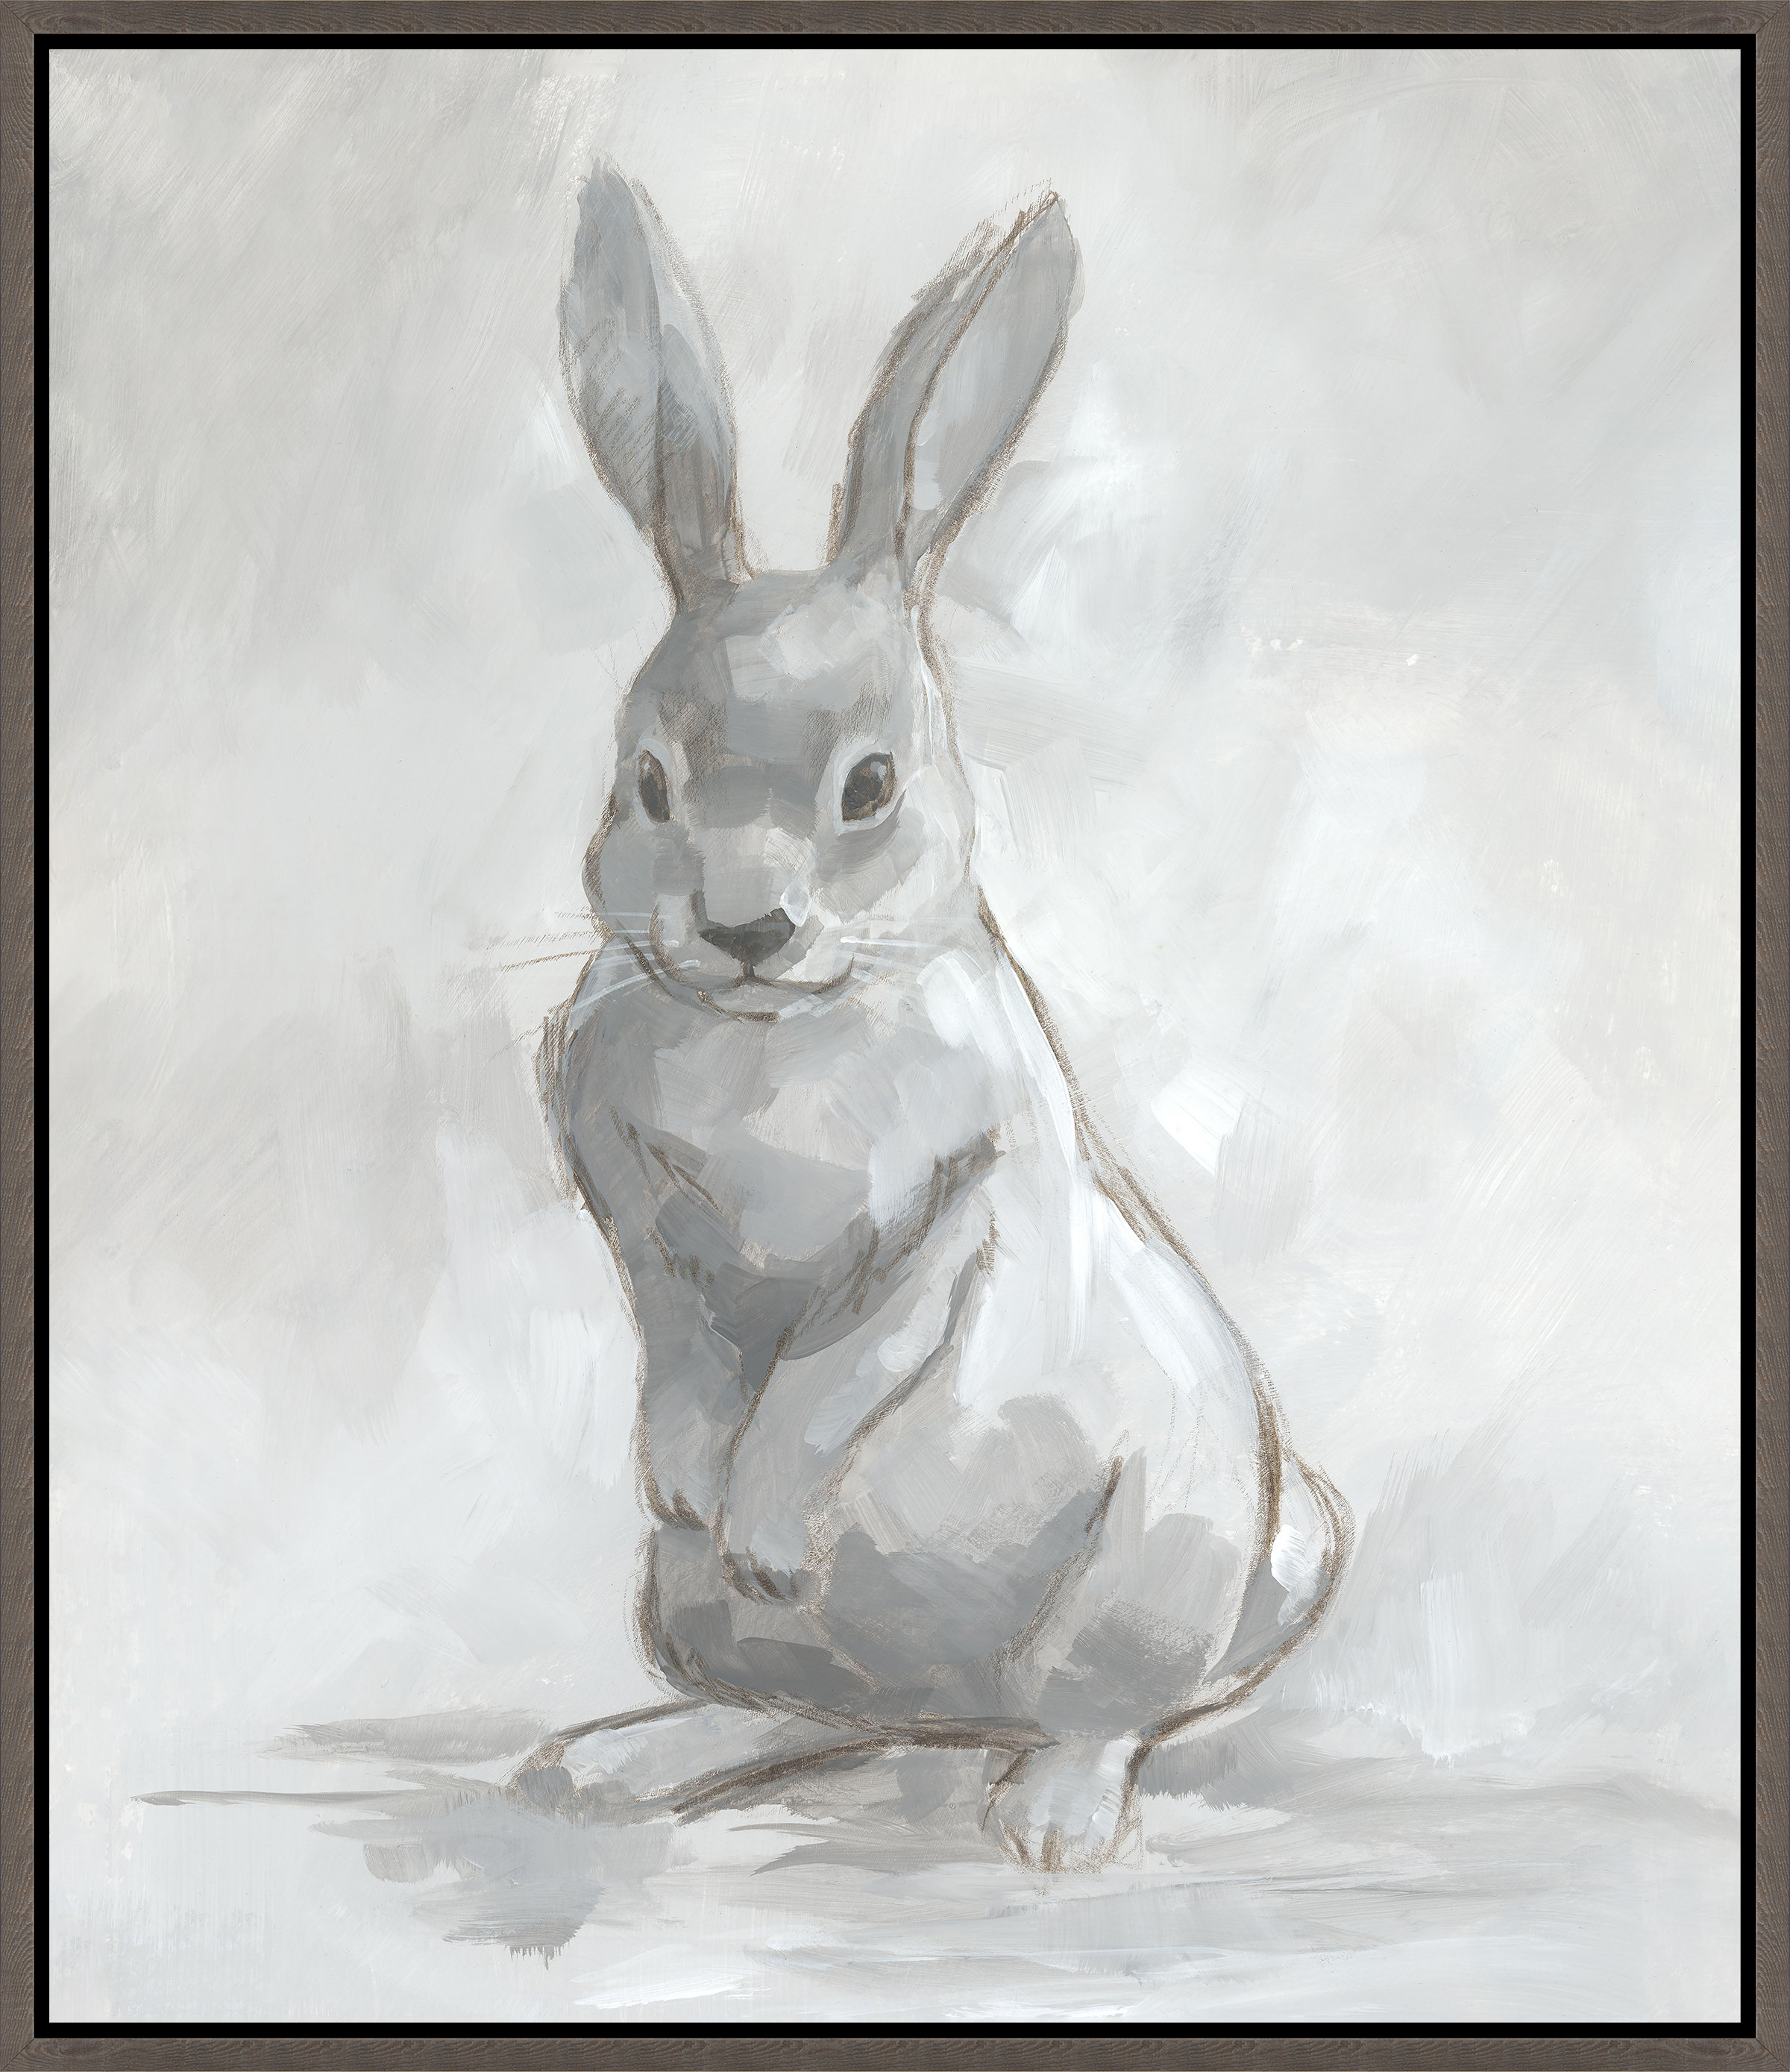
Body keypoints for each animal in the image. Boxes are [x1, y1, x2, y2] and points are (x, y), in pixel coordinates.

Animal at [529, 157, 1352, 1872]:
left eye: (871, 786)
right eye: (648, 781)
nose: (745, 927)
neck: (778, 1034)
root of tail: (953, 1703)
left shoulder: (963, 1195)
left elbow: (847, 1355)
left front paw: (765, 1509)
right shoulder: (630, 1199)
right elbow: (685, 1340)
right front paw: (693, 1478)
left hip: (1150, 1580)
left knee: (1096, 1714)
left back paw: (1049, 1824)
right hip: (692, 1616)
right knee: (804, 1716)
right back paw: (613, 1762)